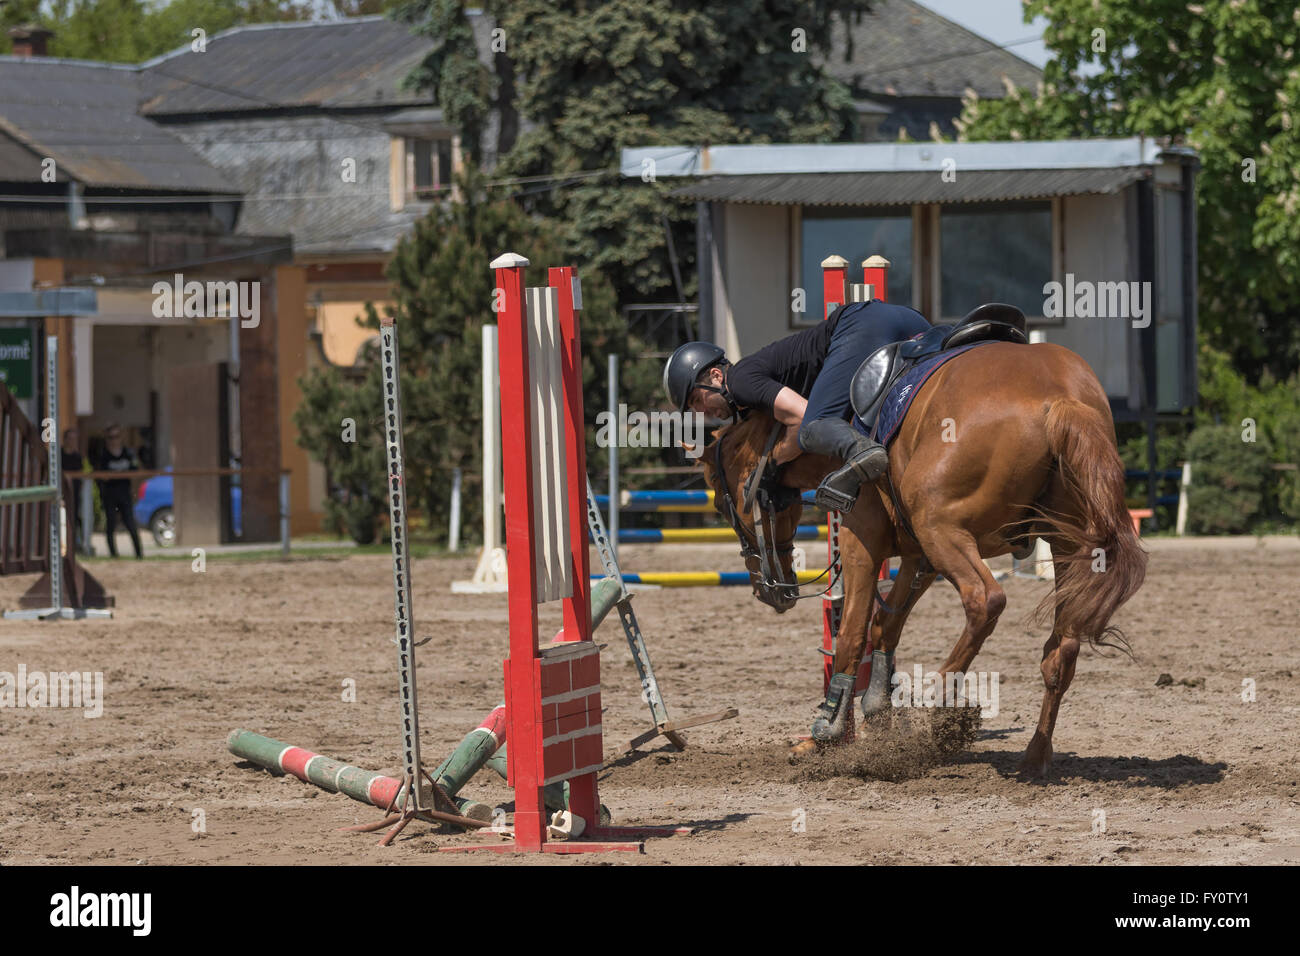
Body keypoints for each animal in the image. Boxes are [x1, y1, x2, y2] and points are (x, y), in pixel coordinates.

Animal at [697, 340, 1147, 777]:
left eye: (721, 501)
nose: (768, 591)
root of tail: (1061, 398)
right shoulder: (919, 557)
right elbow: (884, 625)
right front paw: (877, 711)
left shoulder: (863, 541)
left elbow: (852, 633)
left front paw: (829, 728)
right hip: (1064, 544)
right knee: (1062, 650)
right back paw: (1035, 756)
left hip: (942, 529)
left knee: (985, 600)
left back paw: (943, 696)